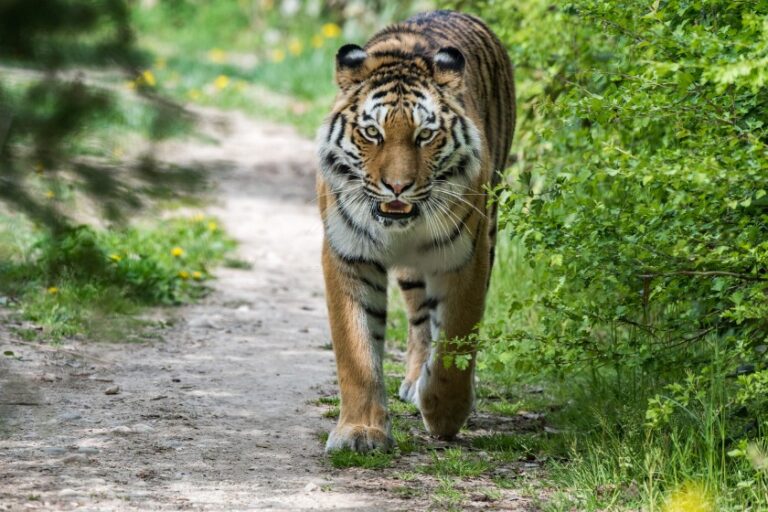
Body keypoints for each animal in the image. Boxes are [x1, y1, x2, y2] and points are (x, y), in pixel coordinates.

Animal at [316, 10, 515, 452]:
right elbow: (356, 349)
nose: (397, 186)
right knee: (420, 319)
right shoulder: (348, 253)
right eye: (372, 133)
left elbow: (456, 342)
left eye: (425, 135)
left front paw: (444, 414)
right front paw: (360, 431)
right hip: (412, 273)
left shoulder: (465, 257)